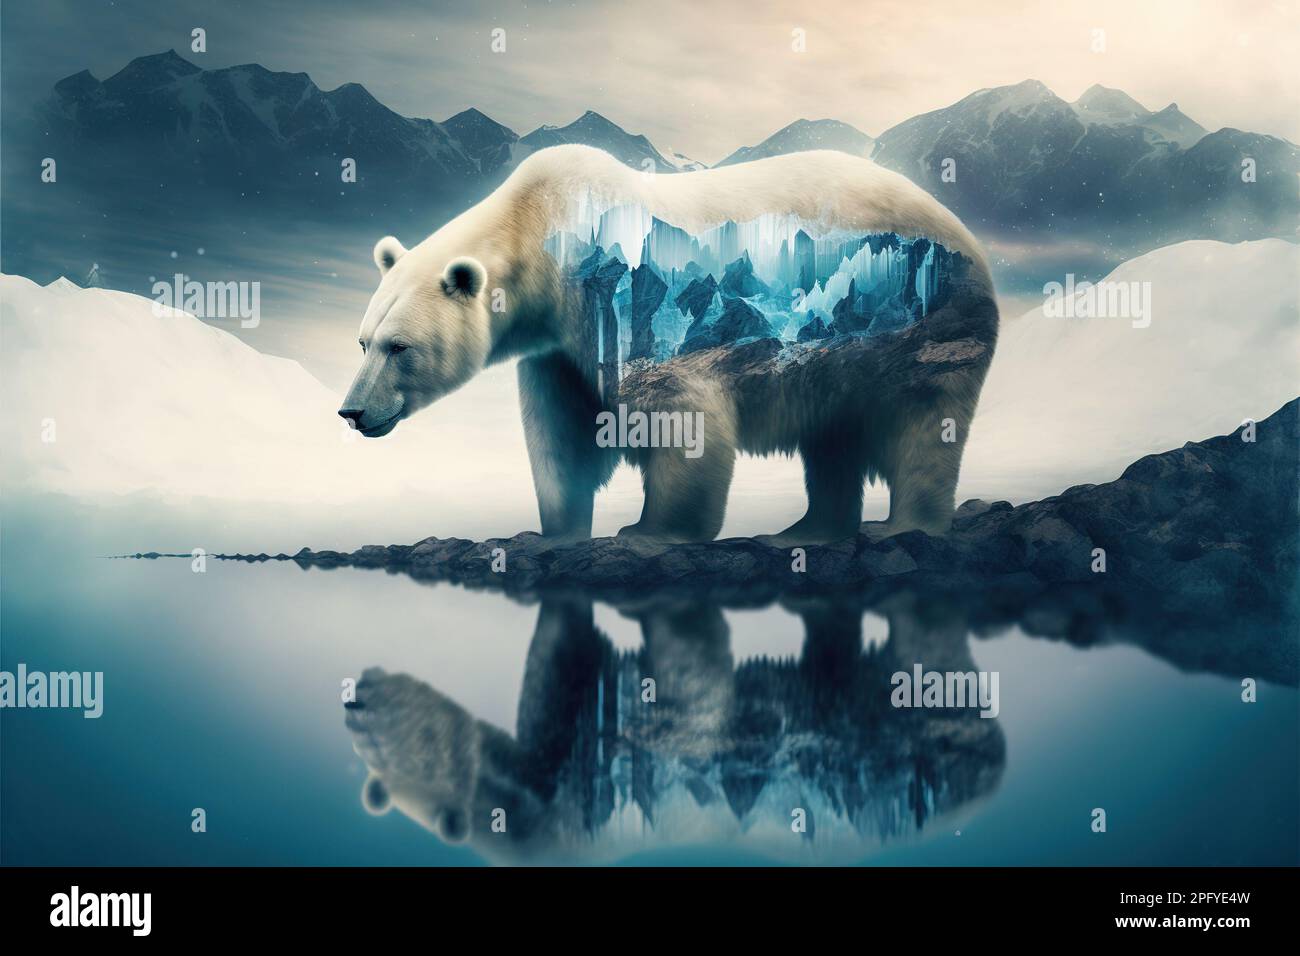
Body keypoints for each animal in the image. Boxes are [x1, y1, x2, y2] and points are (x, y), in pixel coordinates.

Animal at [339, 144, 998, 544]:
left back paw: (904, 526)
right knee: (831, 436)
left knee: (920, 427)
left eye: (399, 348)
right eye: (364, 343)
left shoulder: (623, 304)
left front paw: (650, 532)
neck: (545, 234)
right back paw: (805, 530)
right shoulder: (557, 348)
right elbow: (562, 433)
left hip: (926, 329)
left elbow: (680, 414)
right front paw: (558, 529)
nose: (352, 411)